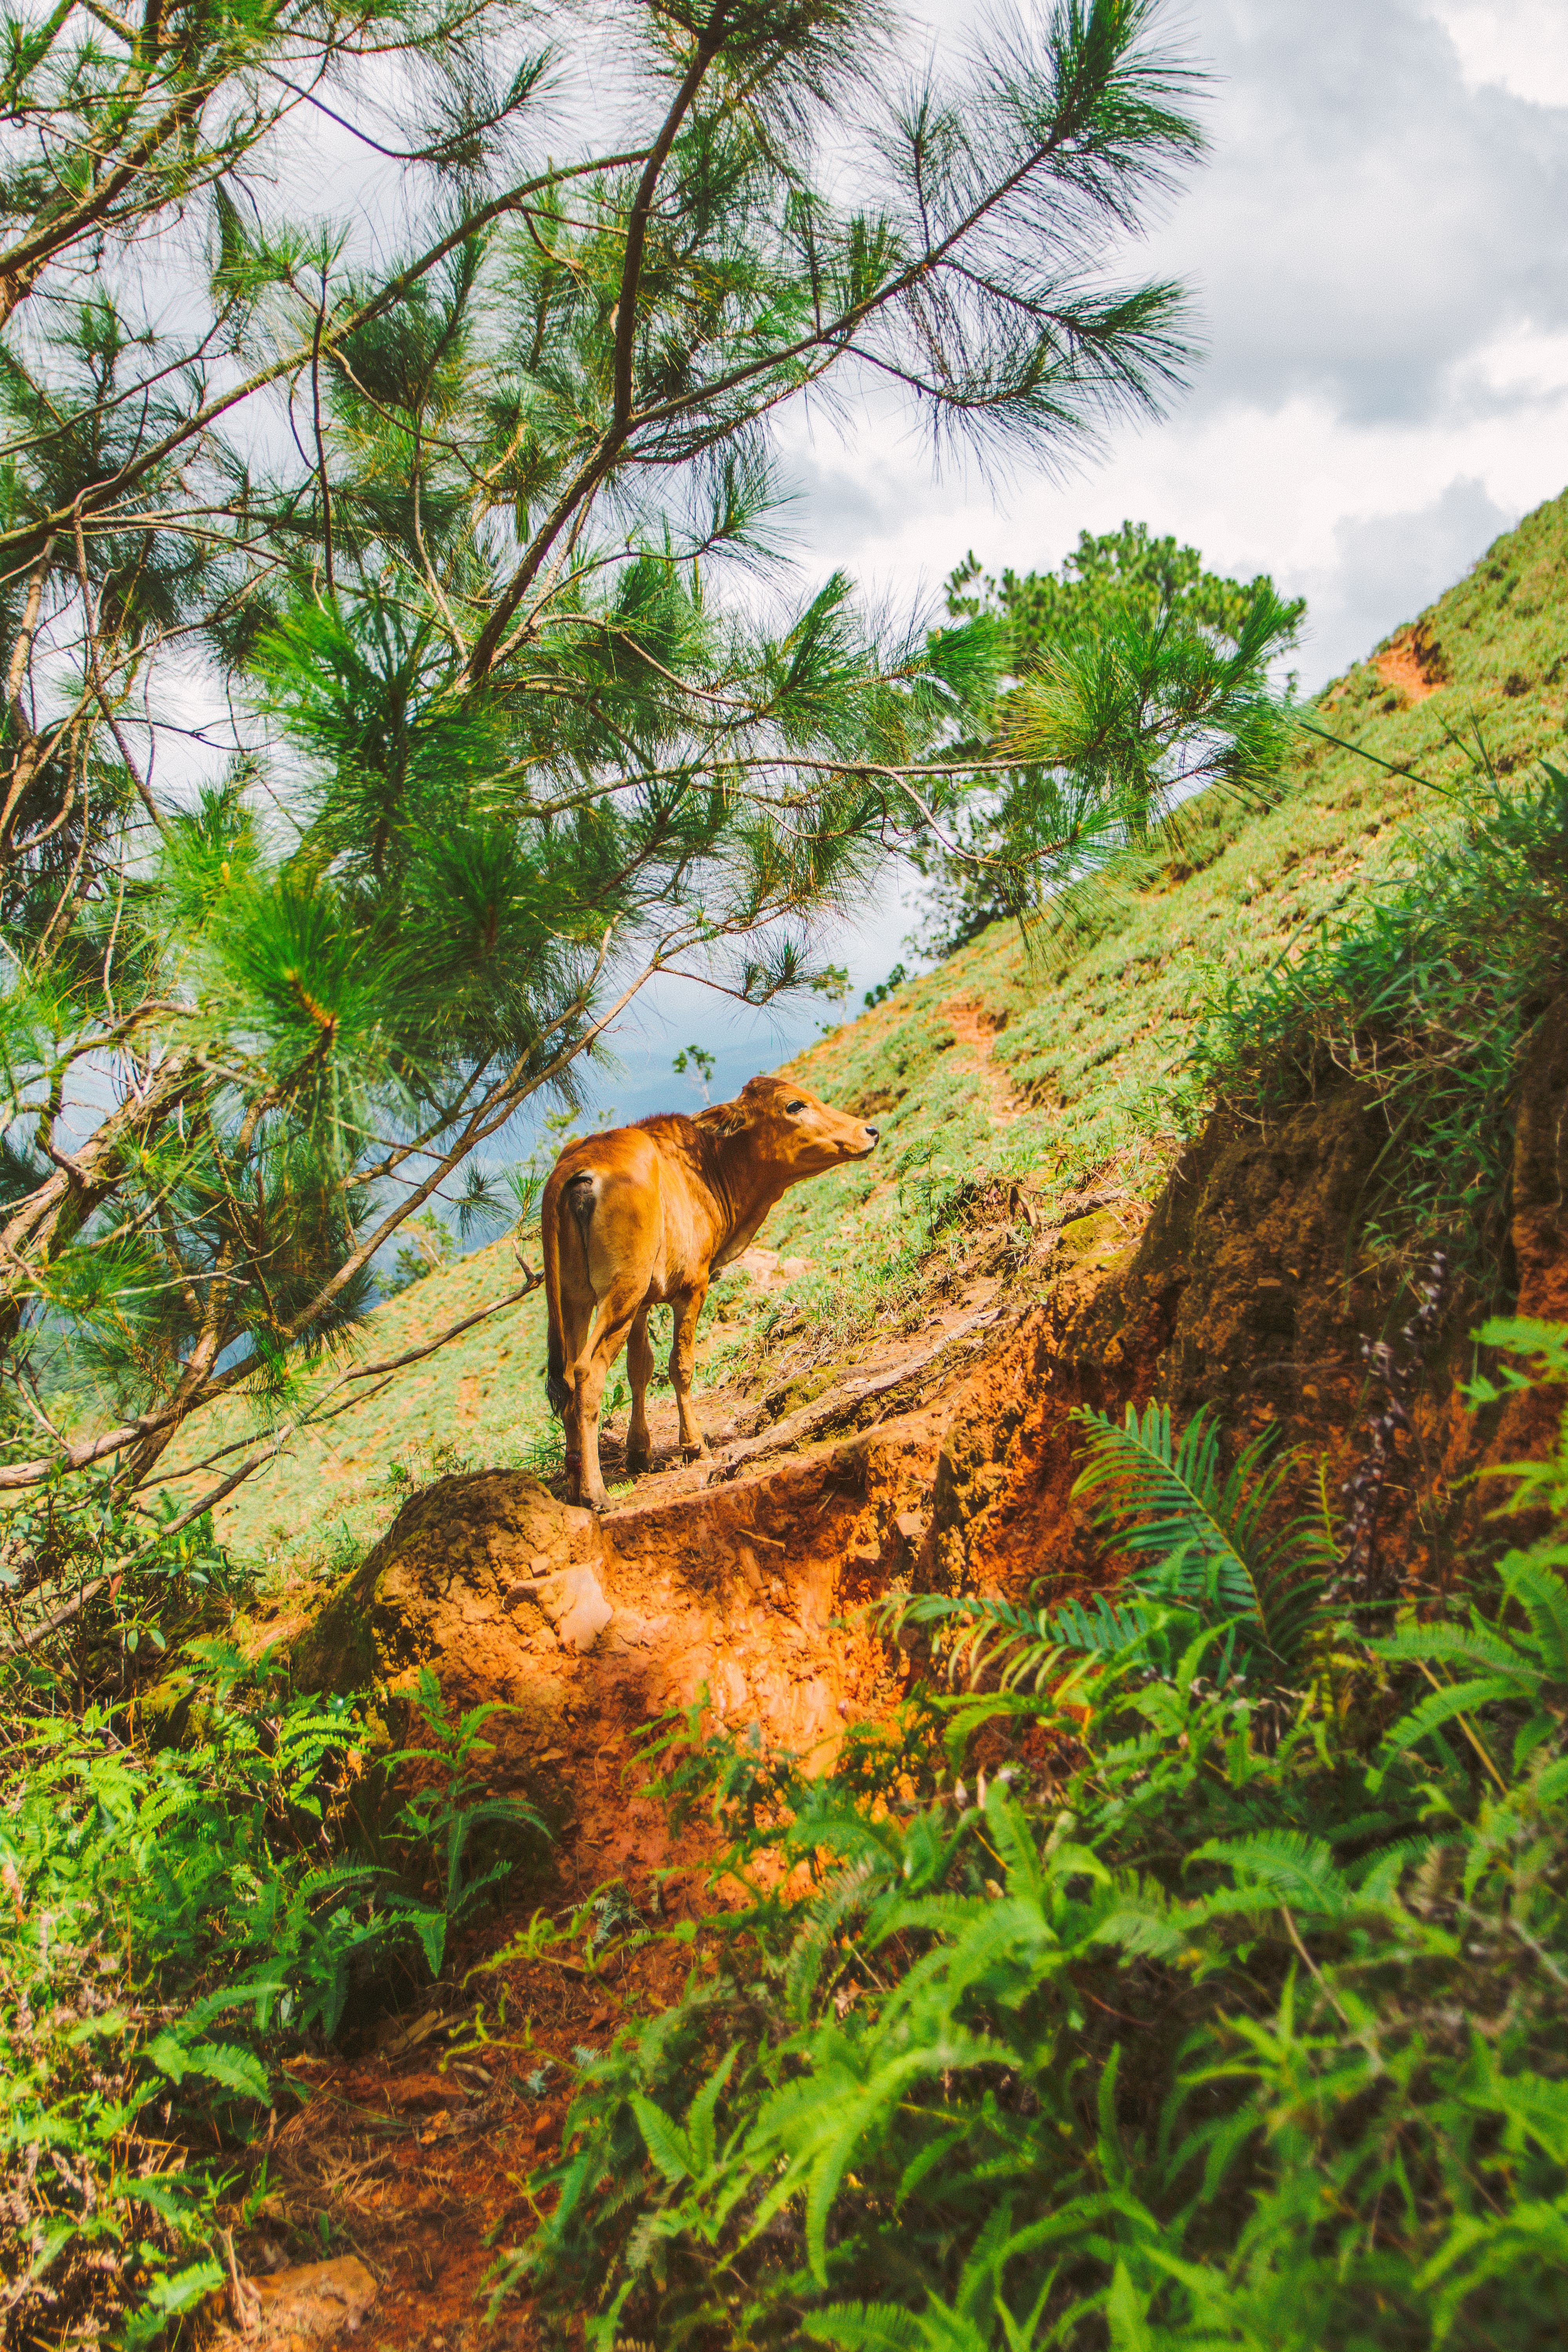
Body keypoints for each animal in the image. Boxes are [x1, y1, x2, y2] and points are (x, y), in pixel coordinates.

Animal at [540, 1075, 879, 1510]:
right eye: (794, 1106)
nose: (869, 1131)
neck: (705, 1168)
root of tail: (576, 1170)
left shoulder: (643, 1305)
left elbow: (640, 1369)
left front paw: (639, 1453)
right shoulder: (691, 1287)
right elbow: (680, 1366)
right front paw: (693, 1446)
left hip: (577, 1300)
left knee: (566, 1379)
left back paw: (572, 1484)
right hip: (620, 1293)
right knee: (587, 1374)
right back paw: (595, 1492)